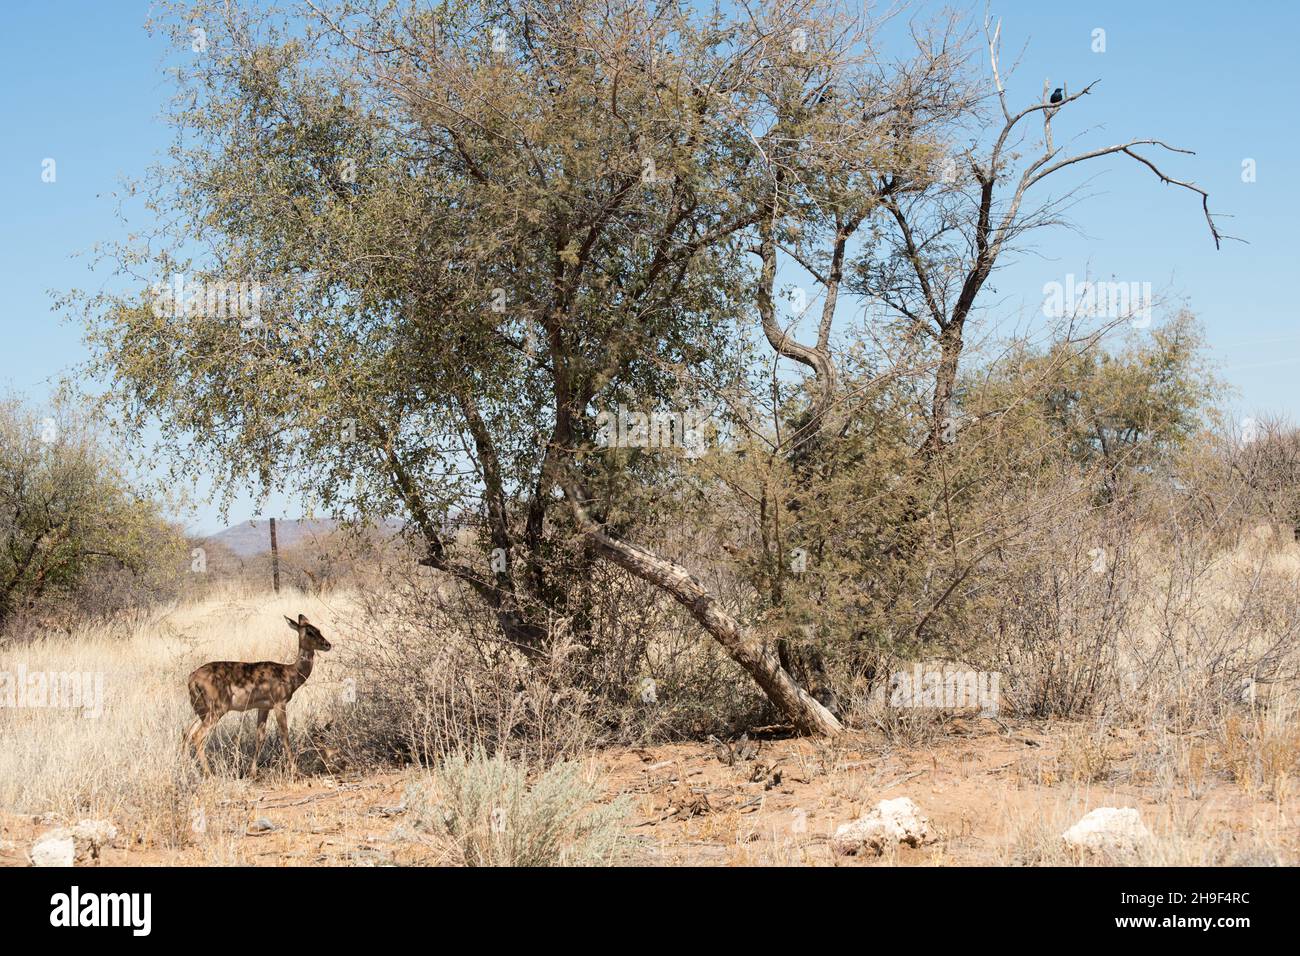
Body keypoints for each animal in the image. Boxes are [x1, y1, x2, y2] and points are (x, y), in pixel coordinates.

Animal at [183, 613, 332, 775]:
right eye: (309, 632)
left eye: (318, 629)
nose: (327, 644)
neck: (290, 673)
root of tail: (192, 677)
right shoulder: (279, 704)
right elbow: (284, 734)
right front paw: (294, 770)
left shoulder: (263, 708)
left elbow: (260, 737)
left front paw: (252, 772)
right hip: (216, 709)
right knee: (197, 736)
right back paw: (209, 775)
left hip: (202, 711)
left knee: (187, 734)